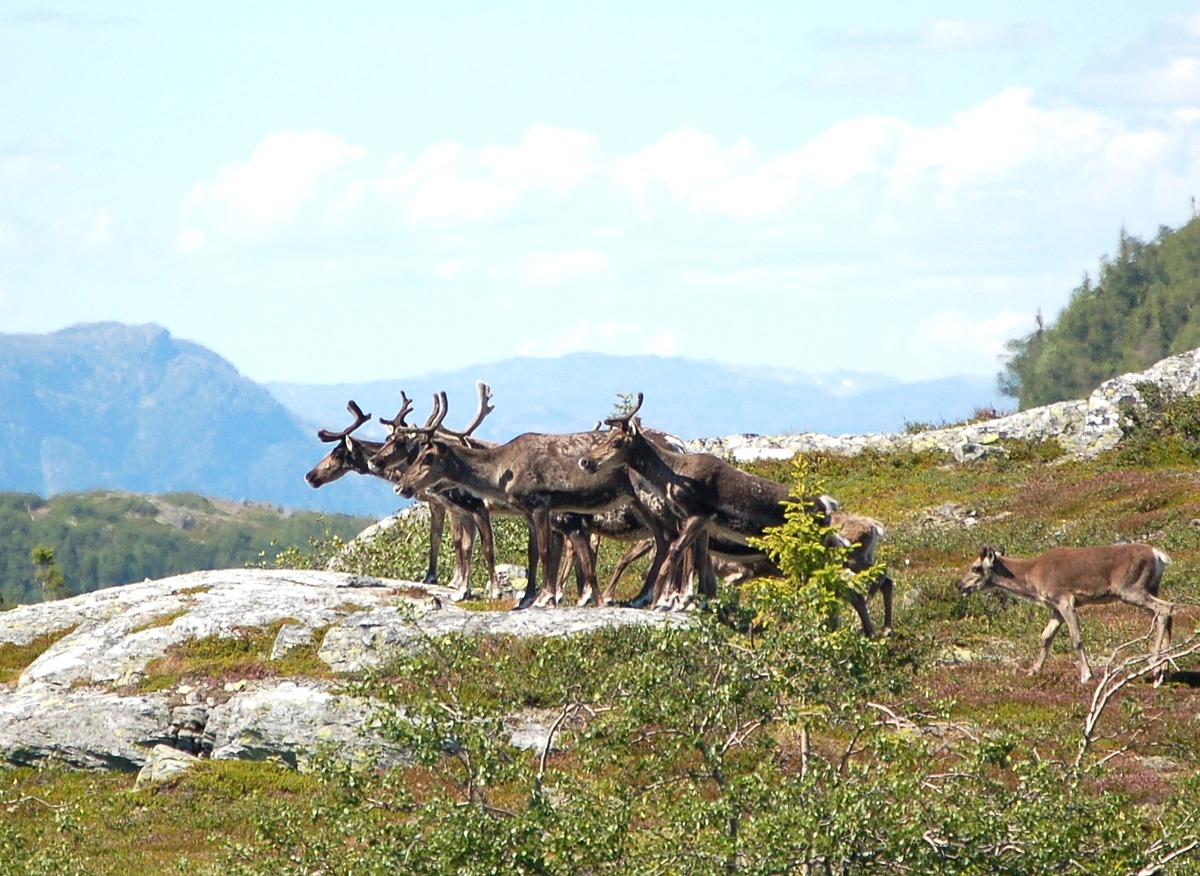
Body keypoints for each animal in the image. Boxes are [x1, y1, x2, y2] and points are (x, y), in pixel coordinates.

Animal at [578, 394, 890, 635]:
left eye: (617, 441)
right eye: (606, 437)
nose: (585, 461)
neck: (672, 474)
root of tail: (826, 506)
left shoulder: (697, 515)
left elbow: (676, 553)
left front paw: (661, 600)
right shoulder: (705, 524)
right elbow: (701, 569)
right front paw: (698, 604)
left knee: (852, 584)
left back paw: (871, 631)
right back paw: (865, 631)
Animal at [957, 543, 1176, 684]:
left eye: (976, 567)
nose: (958, 584)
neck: (1032, 577)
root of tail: (1158, 555)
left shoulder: (1065, 601)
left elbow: (1076, 638)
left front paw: (1086, 675)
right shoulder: (1055, 608)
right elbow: (1045, 637)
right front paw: (1033, 670)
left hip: (1130, 590)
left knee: (1165, 608)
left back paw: (1154, 663)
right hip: (1150, 588)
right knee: (1167, 612)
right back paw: (1163, 671)